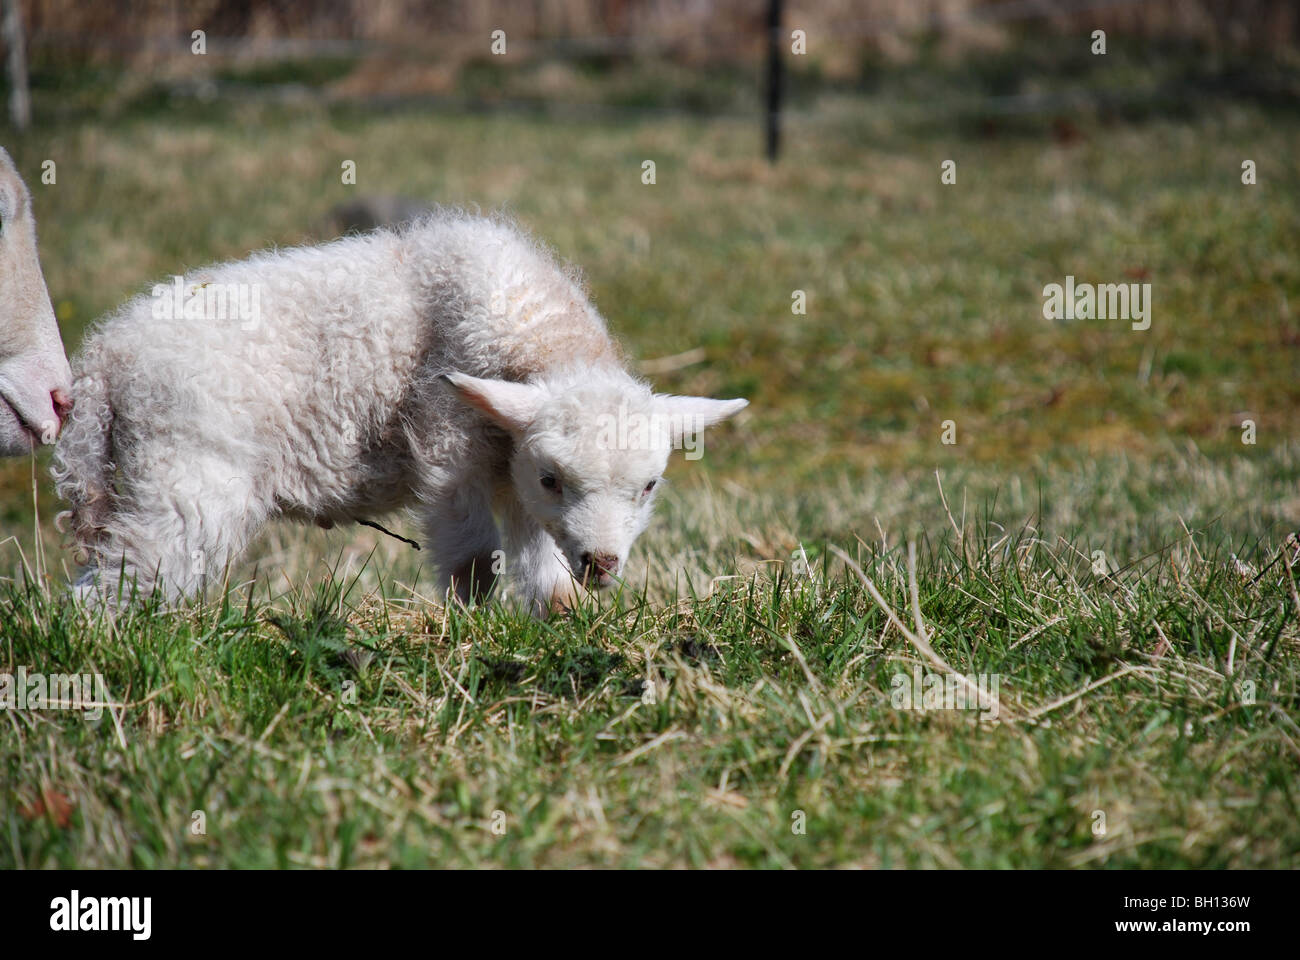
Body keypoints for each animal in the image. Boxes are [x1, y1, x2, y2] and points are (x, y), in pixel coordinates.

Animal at [53, 210, 747, 615]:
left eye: (649, 485)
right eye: (555, 478)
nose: (601, 565)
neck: (534, 333)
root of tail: (105, 361)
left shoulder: (510, 463)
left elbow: (538, 562)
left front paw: (559, 618)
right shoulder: (450, 447)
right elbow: (472, 559)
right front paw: (470, 626)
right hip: (188, 472)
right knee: (124, 577)